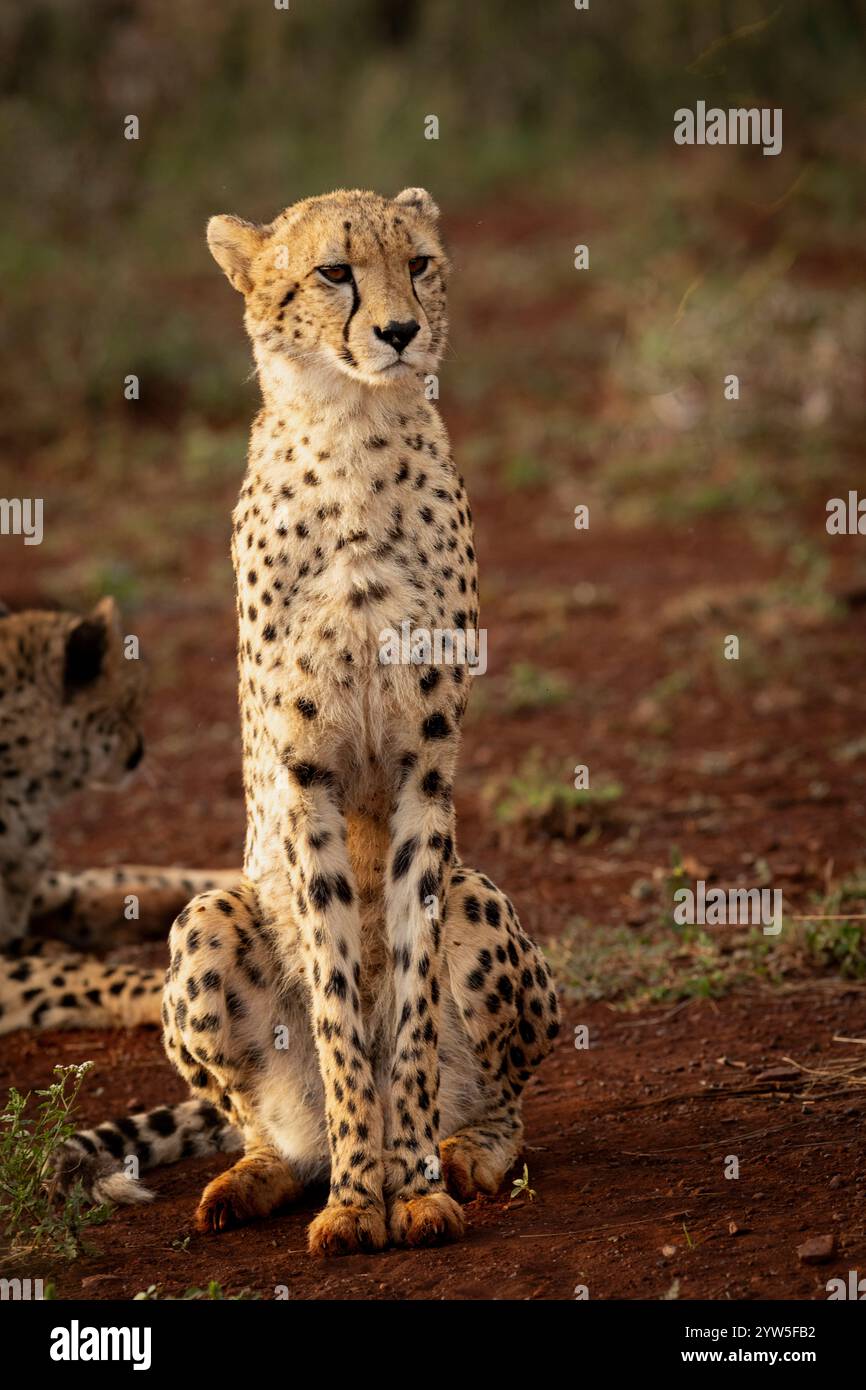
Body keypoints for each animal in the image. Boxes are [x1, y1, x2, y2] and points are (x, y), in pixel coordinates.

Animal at [0, 598, 237, 1034]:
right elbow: (69, 976)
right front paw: (167, 997)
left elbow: (105, 883)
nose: (139, 751)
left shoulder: (36, 886)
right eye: (128, 702)